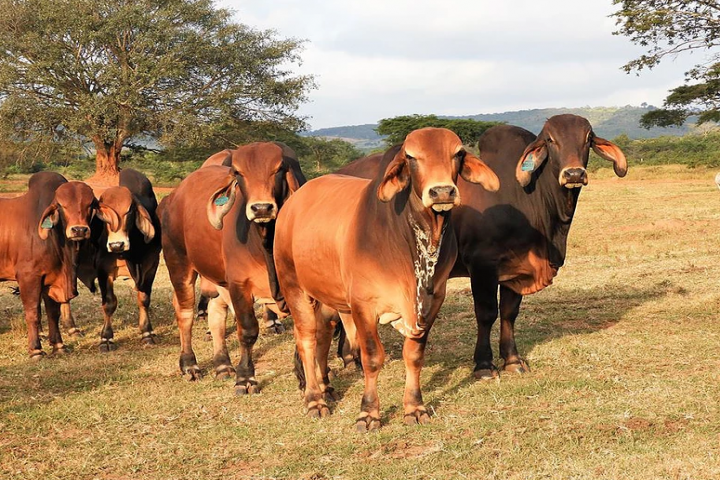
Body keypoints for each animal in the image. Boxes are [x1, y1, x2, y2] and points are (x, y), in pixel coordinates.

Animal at [0, 172, 113, 358]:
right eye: (61, 205)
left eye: (90, 204)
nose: (79, 230)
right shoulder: (28, 277)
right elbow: (33, 313)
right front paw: (36, 349)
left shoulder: (52, 279)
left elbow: (53, 313)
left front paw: (58, 345)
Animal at [62, 169, 161, 351]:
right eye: (102, 214)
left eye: (129, 211)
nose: (116, 245)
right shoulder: (103, 269)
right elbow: (109, 303)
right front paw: (106, 338)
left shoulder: (151, 265)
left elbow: (144, 299)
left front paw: (147, 333)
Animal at [160, 142, 305, 394]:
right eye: (238, 172)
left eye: (278, 169)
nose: (261, 208)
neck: (265, 244)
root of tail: (174, 195)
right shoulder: (239, 284)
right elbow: (247, 331)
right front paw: (245, 378)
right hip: (179, 263)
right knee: (184, 311)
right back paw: (189, 364)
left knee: (216, 313)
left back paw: (222, 364)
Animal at [274, 127, 500, 431]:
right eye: (411, 157)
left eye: (458, 153)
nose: (442, 191)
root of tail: (292, 204)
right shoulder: (363, 306)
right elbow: (371, 358)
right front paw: (369, 412)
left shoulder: (432, 302)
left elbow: (413, 356)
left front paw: (414, 407)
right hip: (294, 286)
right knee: (307, 339)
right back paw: (314, 399)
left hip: (327, 297)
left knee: (322, 336)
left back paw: (326, 388)